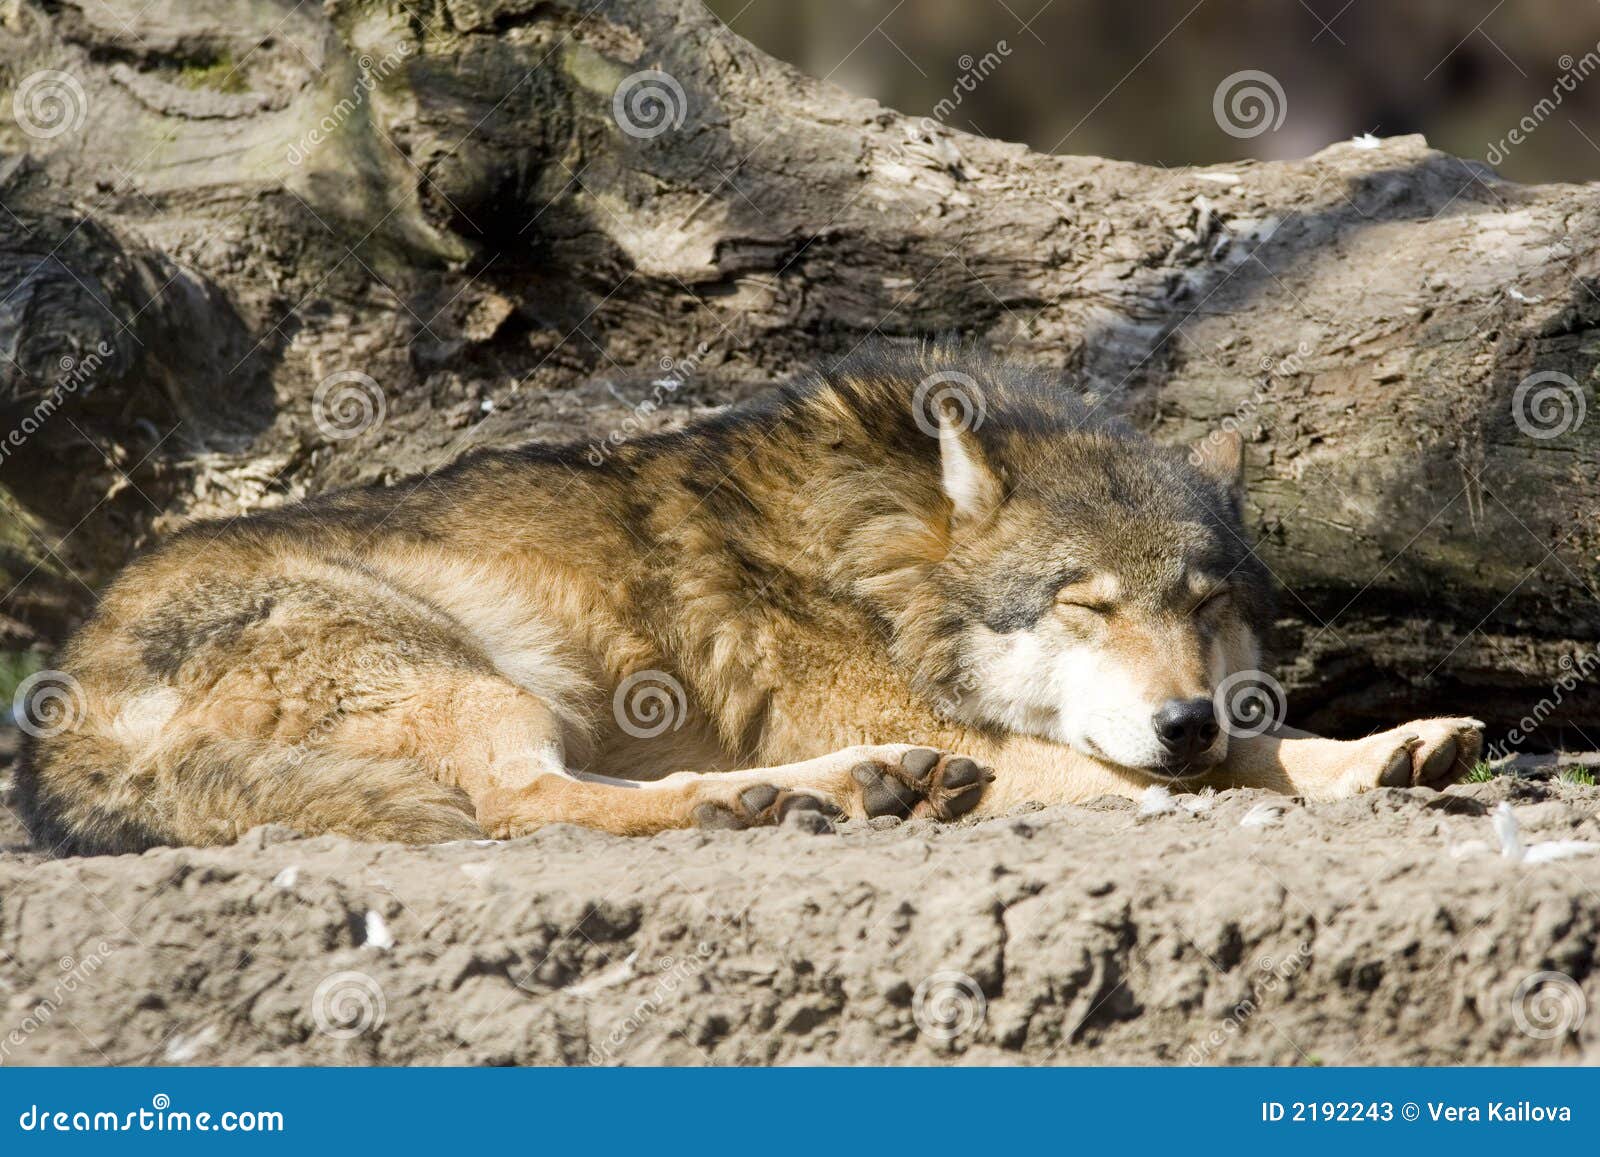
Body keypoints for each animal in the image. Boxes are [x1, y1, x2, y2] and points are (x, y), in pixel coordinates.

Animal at [16, 344, 1482, 854]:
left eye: (1204, 605)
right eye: (1085, 606)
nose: (1183, 716)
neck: (881, 570)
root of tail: (55, 726)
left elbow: (1258, 746)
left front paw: (1397, 746)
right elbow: (1238, 768)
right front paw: (1359, 753)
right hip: (469, 671)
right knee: (526, 804)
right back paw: (824, 792)